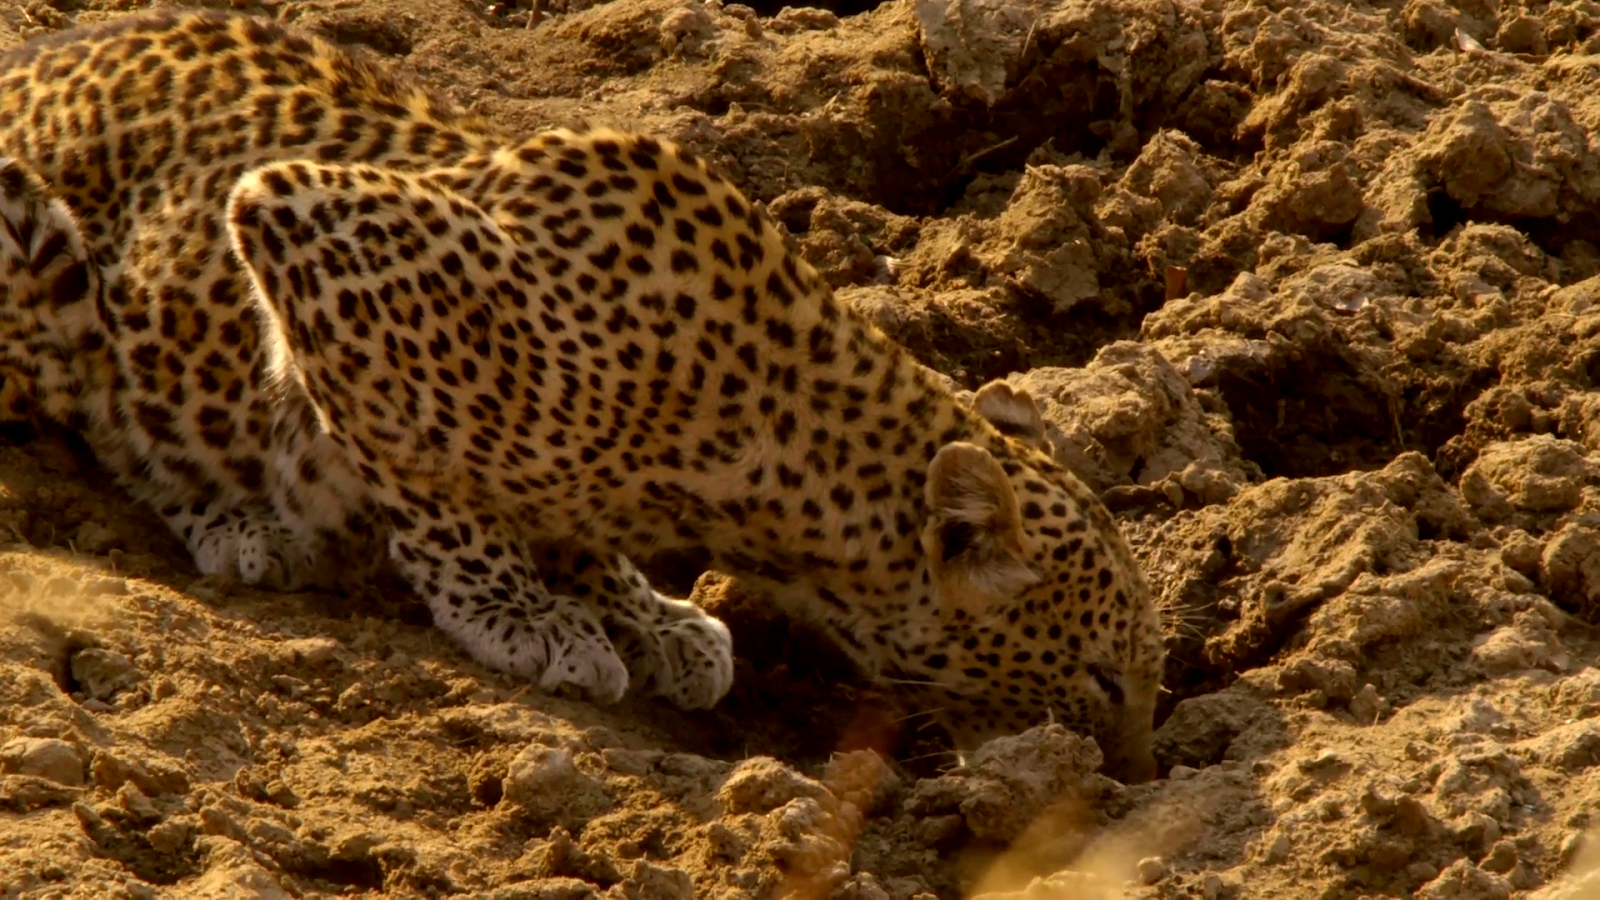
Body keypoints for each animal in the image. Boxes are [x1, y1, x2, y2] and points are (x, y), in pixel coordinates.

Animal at [0, 9, 1165, 781]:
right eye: (1103, 680)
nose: (1135, 777)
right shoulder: (305, 218)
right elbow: (423, 478)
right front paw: (513, 608)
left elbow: (570, 533)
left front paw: (640, 612)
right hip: (40, 254)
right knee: (111, 411)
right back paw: (238, 515)